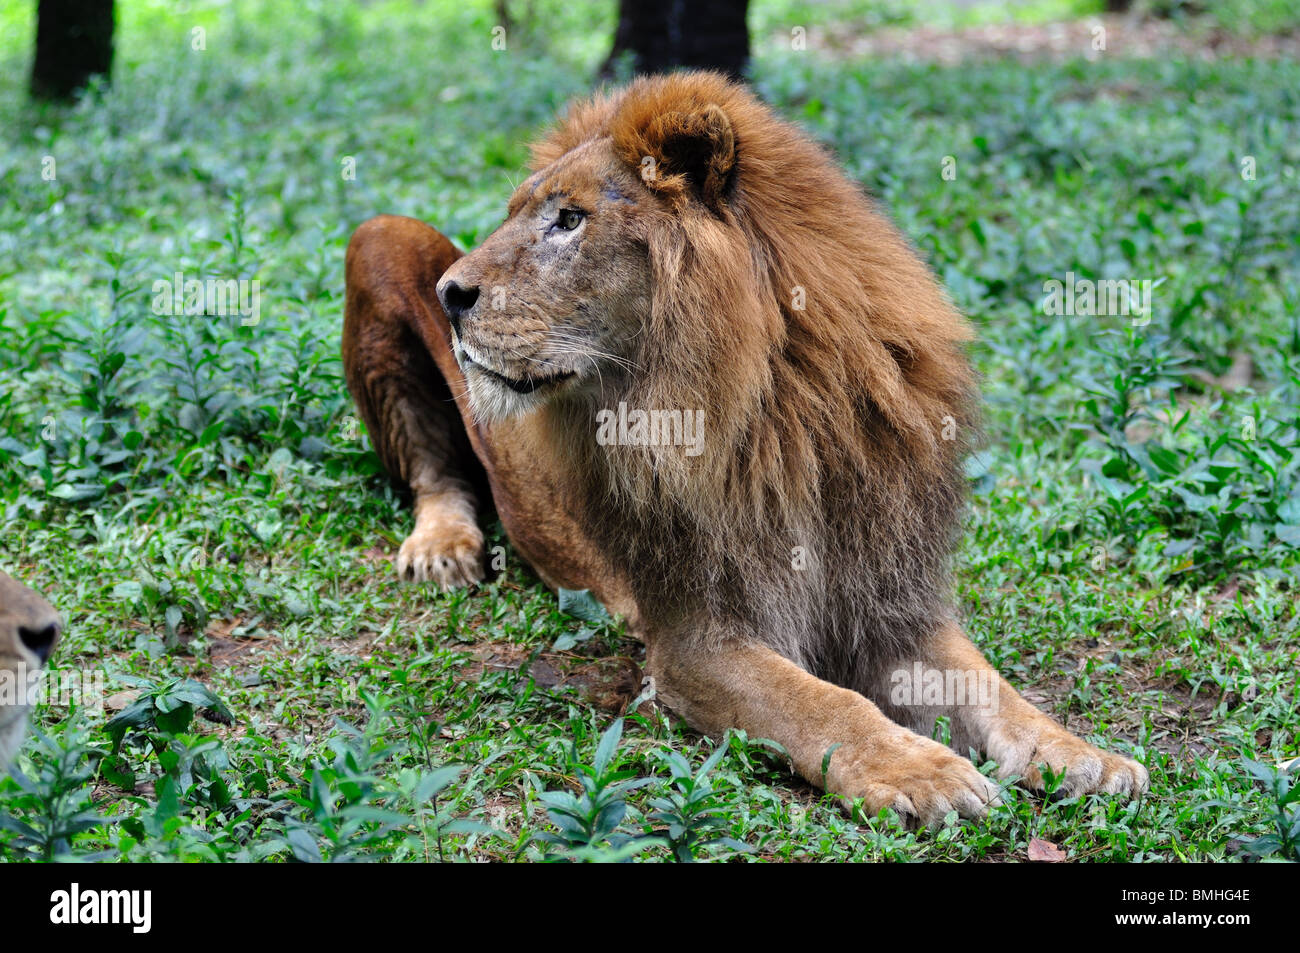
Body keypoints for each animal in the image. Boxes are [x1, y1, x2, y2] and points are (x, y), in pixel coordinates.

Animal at [342, 71, 1148, 825]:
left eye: (569, 219)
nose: (451, 294)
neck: (785, 409)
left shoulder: (890, 597)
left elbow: (990, 685)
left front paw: (1083, 755)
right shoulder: (695, 640)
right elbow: (824, 703)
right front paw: (925, 770)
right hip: (380, 240)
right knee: (435, 469)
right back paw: (443, 544)